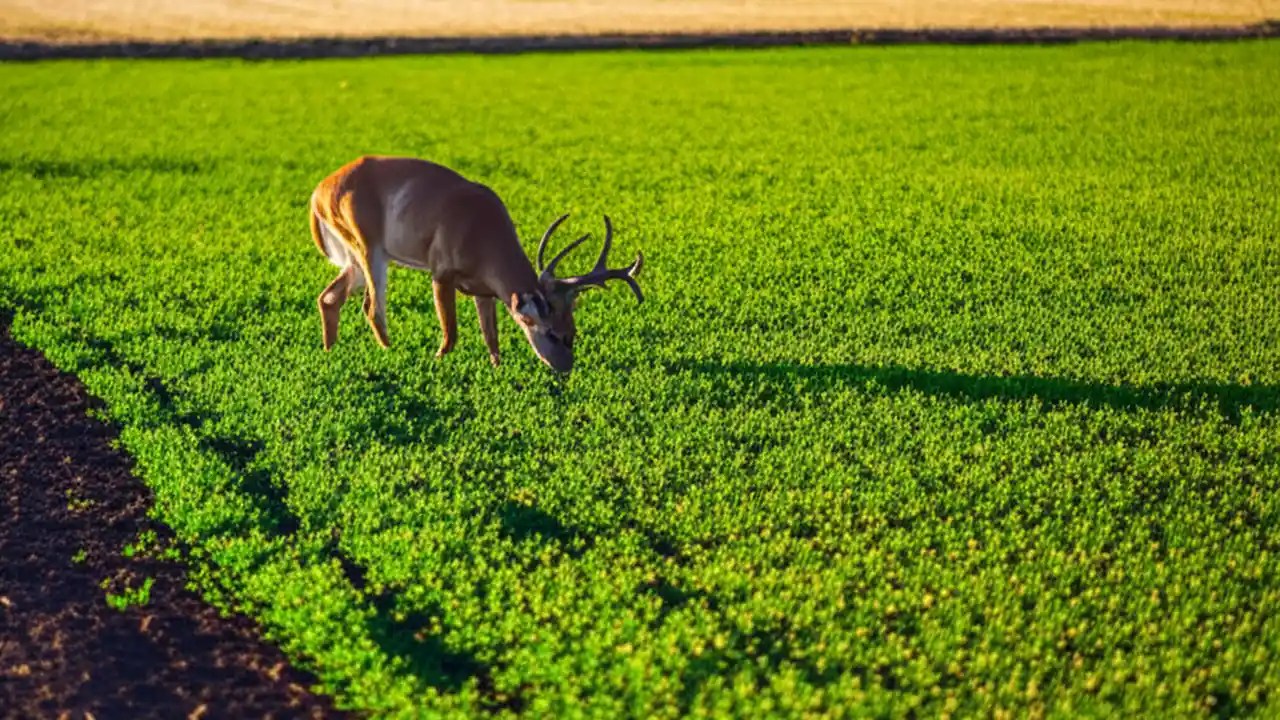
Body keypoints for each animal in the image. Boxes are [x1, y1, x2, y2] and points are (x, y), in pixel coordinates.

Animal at [308, 155, 643, 373]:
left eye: (572, 332)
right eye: (552, 334)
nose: (565, 369)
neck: (483, 236)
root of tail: (318, 193)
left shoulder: (485, 289)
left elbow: (491, 336)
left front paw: (497, 370)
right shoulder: (440, 270)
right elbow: (451, 333)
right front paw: (437, 362)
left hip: (353, 255)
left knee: (329, 297)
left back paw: (330, 352)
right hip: (369, 244)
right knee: (373, 307)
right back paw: (391, 355)